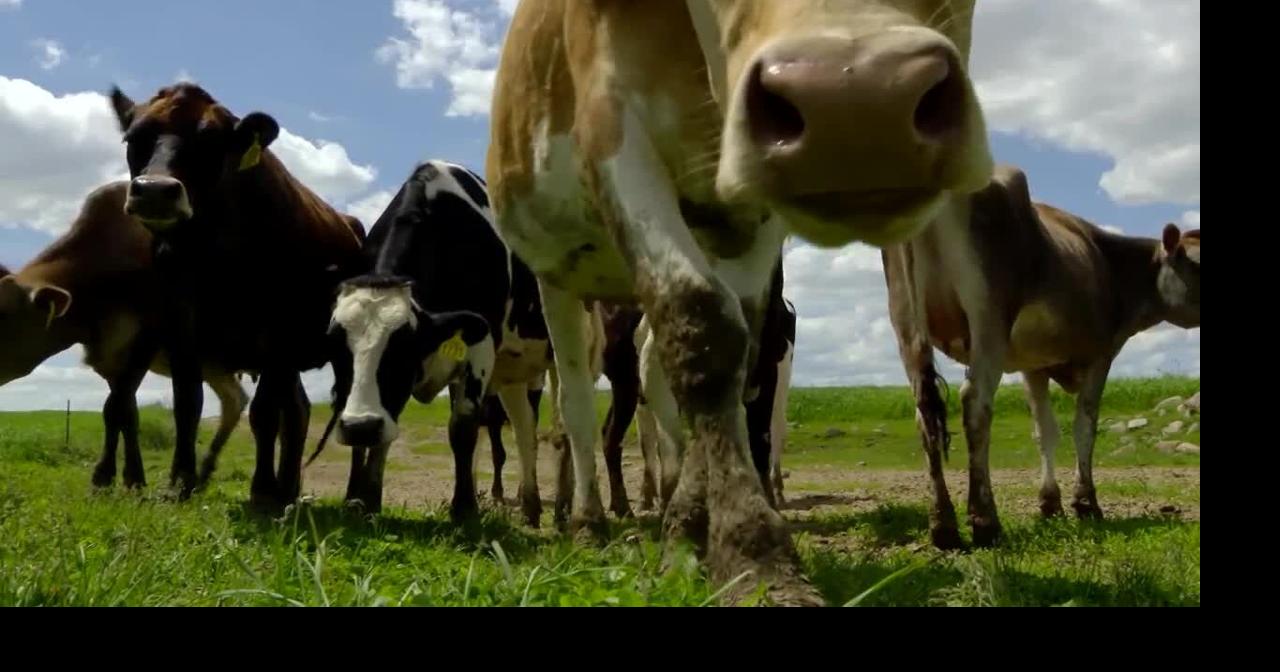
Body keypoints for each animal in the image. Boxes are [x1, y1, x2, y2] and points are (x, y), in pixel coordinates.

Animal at [1, 181, 246, 491]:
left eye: (4, 317)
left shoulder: (146, 341)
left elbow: (114, 408)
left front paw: (105, 477)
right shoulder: (109, 355)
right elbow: (128, 412)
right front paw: (132, 477)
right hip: (213, 366)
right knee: (235, 400)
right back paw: (203, 474)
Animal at [108, 83, 367, 507]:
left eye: (212, 140)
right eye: (134, 138)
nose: (156, 191)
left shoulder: (278, 330)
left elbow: (263, 414)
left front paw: (261, 489)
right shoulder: (179, 321)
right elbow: (187, 403)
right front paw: (180, 481)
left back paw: (354, 494)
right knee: (298, 411)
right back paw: (289, 488)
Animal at [324, 160, 603, 524]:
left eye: (402, 349)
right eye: (335, 348)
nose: (361, 427)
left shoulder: (479, 342)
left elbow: (463, 427)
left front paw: (465, 509)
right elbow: (381, 434)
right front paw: (362, 500)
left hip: (570, 352)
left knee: (563, 429)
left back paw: (563, 510)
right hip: (513, 369)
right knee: (524, 430)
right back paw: (530, 507)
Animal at [487, 0, 991, 602]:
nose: (856, 101)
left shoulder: (748, 222)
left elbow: (732, 353)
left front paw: (689, 532)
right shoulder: (611, 124)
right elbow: (699, 323)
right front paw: (756, 557)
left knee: (656, 375)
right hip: (559, 280)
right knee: (576, 408)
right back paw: (587, 522)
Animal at [883, 165, 1201, 549]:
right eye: (1200, 265)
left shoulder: (1032, 365)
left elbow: (1045, 431)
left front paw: (1050, 504)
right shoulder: (1101, 353)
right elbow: (1084, 426)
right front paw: (1086, 503)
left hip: (905, 318)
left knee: (924, 413)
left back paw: (943, 525)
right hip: (989, 316)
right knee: (975, 402)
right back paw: (986, 521)